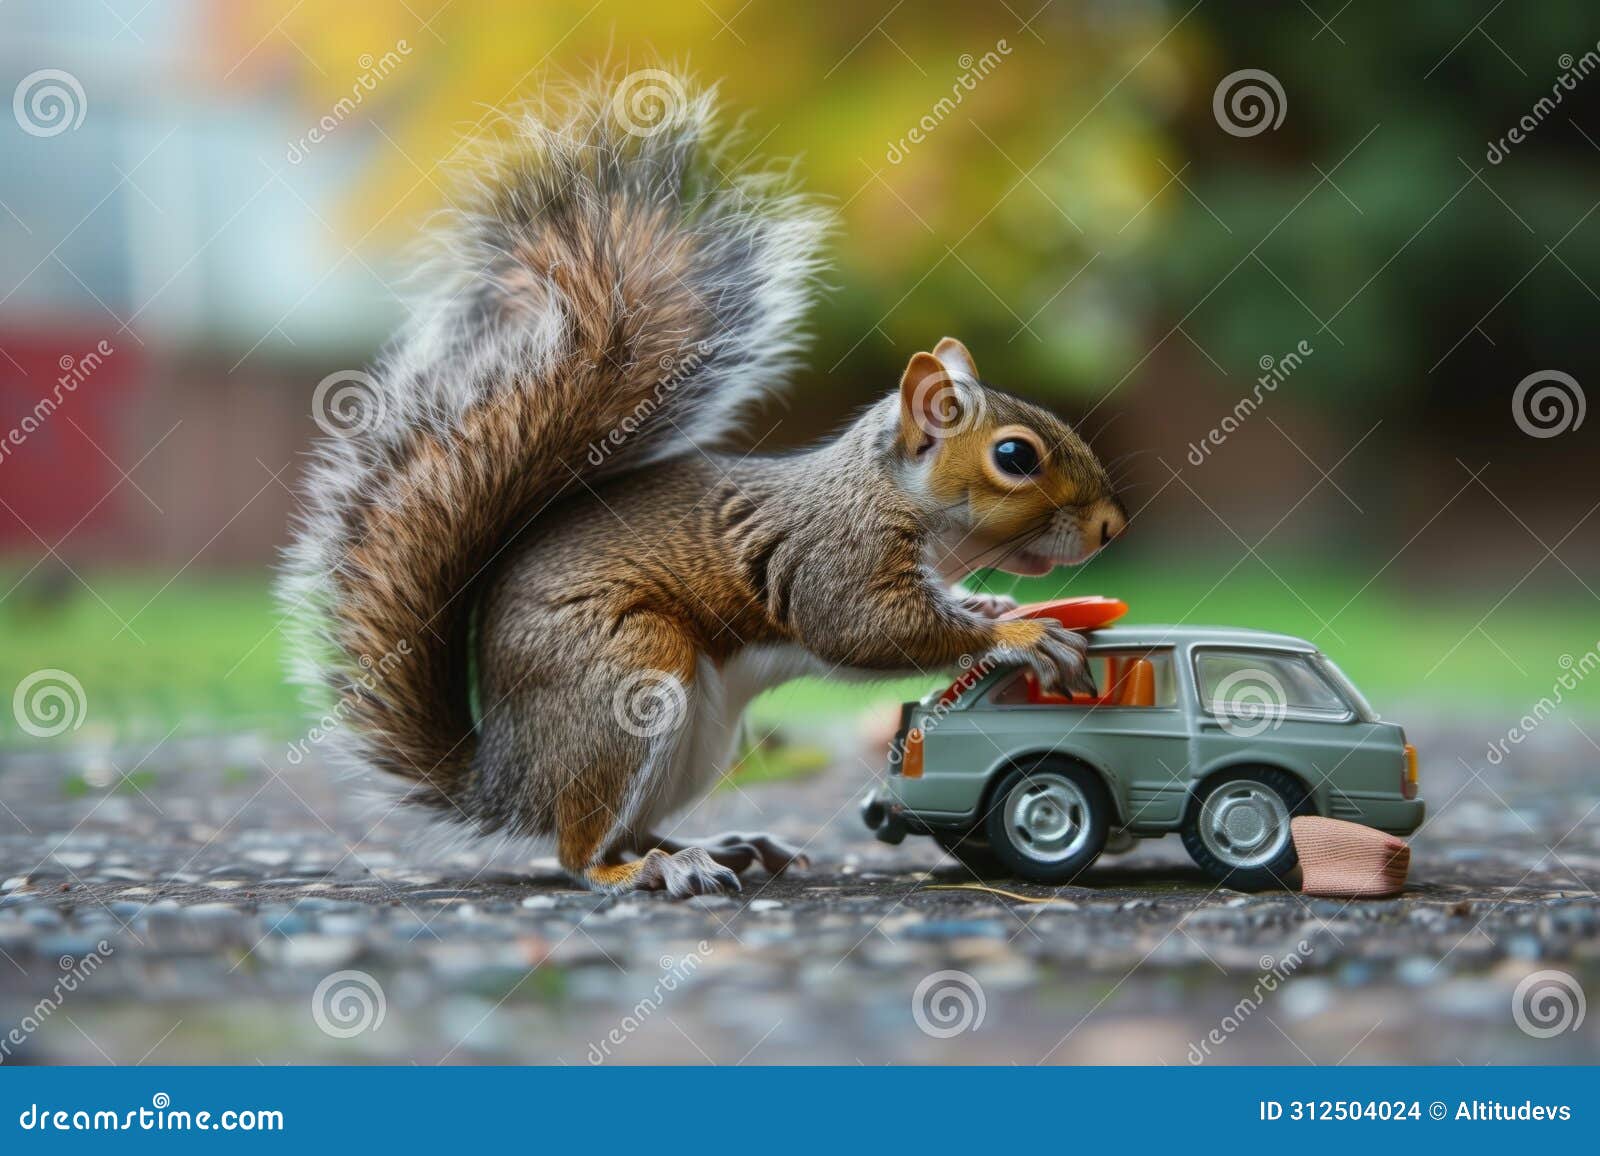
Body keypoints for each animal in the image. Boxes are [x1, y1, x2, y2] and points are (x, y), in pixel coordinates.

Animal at [282, 75, 1127, 899]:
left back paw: (713, 846)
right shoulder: (839, 557)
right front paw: (1020, 636)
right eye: (1014, 456)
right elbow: (864, 628)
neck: (893, 496)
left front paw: (993, 606)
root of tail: (503, 777)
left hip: (700, 739)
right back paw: (652, 870)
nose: (1111, 526)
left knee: (625, 825)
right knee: (579, 850)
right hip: (628, 675)